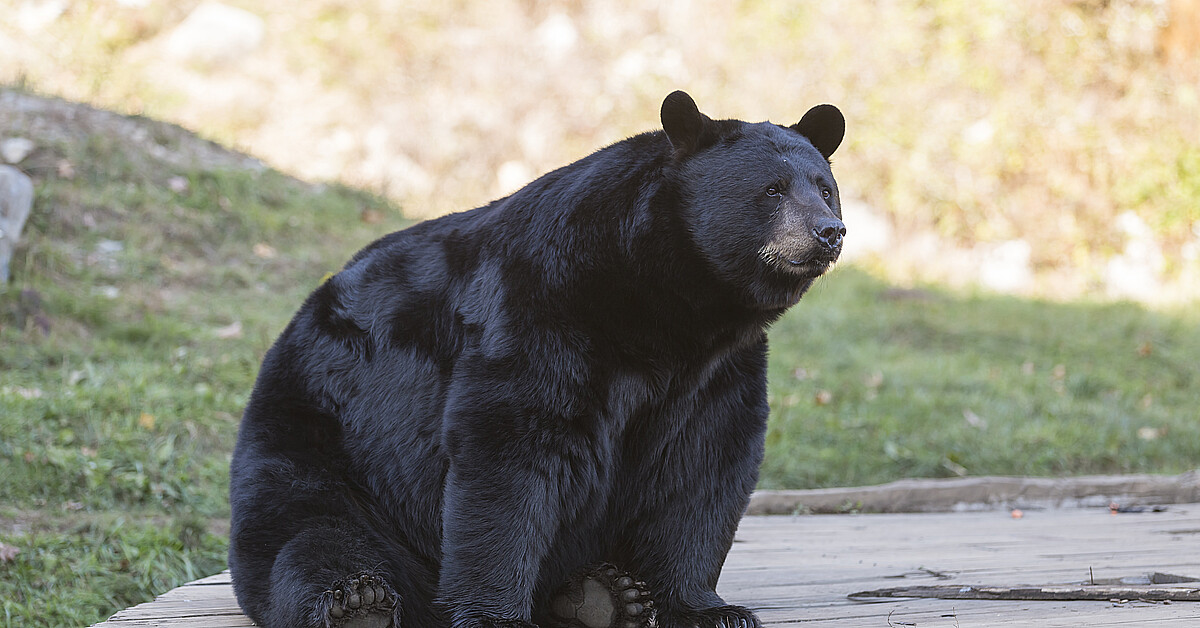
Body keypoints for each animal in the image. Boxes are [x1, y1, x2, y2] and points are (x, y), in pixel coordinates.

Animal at [228, 90, 846, 628]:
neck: (664, 306)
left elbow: (705, 466)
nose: (829, 231)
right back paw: (359, 604)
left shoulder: (720, 369)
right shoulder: (540, 306)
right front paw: (492, 615)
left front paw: (710, 609)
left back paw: (603, 594)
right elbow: (511, 449)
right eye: (772, 190)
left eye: (824, 188)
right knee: (309, 536)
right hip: (326, 444)